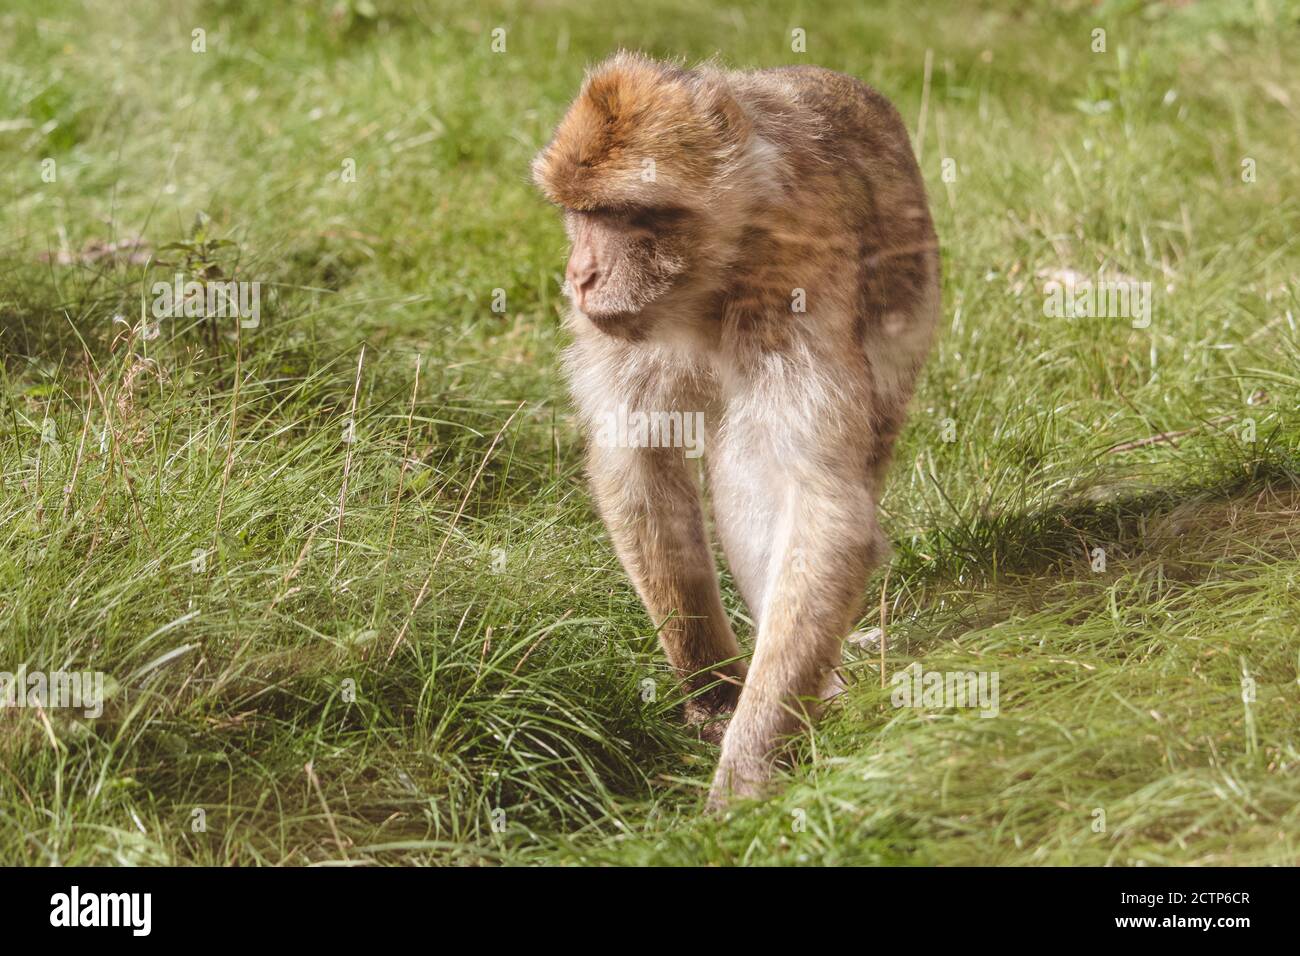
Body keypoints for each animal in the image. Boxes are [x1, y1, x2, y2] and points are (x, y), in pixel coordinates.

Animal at [533, 52, 940, 808]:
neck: (713, 276)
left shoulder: (792, 292)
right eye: (577, 213)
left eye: (618, 213)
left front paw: (749, 756)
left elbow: (822, 505)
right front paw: (714, 692)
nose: (581, 275)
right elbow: (636, 458)